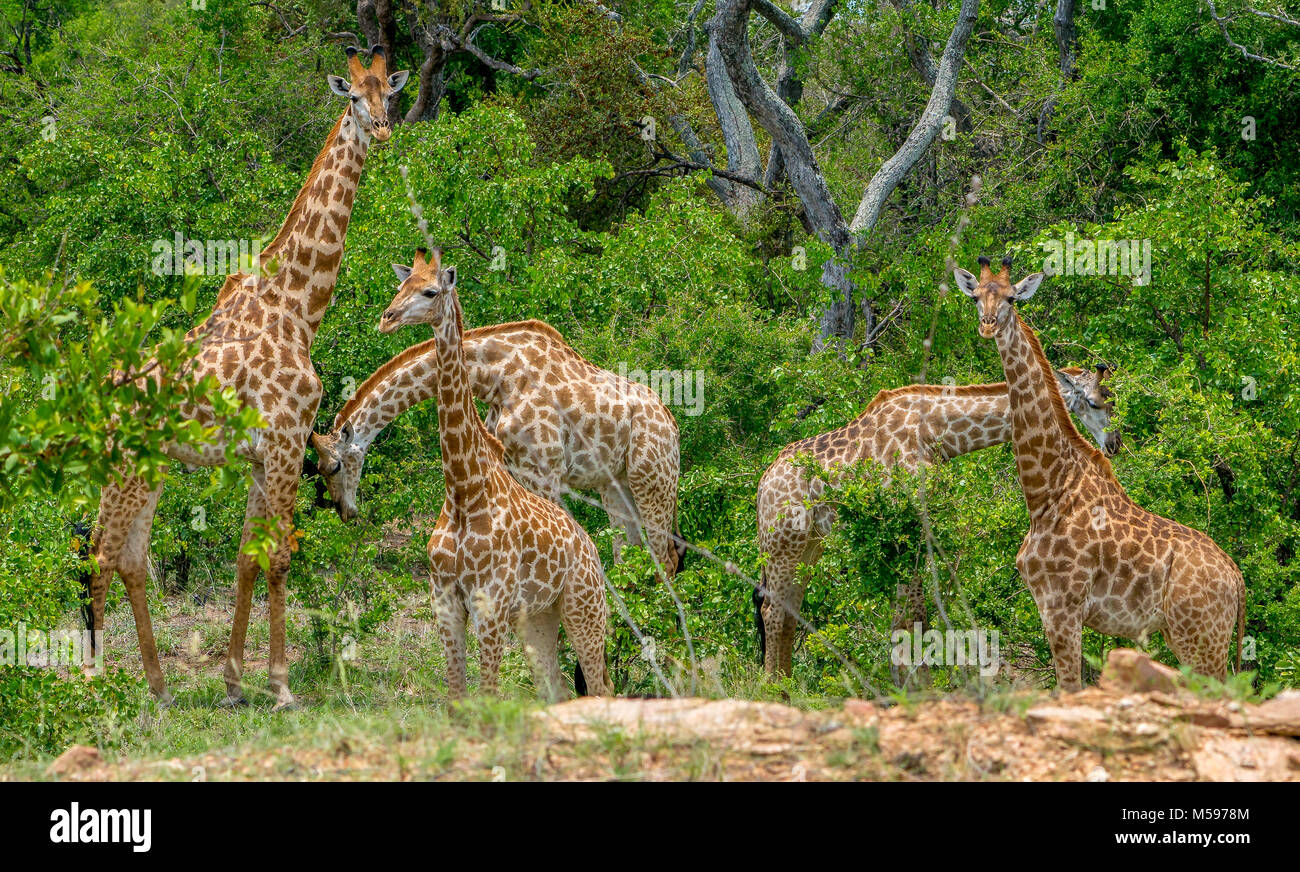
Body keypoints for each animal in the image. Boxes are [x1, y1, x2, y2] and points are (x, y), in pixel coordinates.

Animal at [82, 46, 409, 708]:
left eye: (389, 92)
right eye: (353, 99)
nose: (384, 129)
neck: (298, 308)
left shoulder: (264, 454)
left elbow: (246, 558)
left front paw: (235, 683)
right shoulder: (284, 442)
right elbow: (280, 558)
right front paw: (281, 687)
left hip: (150, 469)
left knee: (130, 558)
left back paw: (159, 689)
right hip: (123, 467)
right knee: (100, 555)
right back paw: (97, 684)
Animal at [310, 321, 684, 578]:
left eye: (334, 466)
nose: (345, 512)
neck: (495, 375)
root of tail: (672, 424)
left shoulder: (544, 471)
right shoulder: (512, 466)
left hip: (652, 478)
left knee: (666, 558)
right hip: (615, 483)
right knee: (631, 555)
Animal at [377, 249, 611, 700]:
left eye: (430, 291)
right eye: (400, 285)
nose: (388, 318)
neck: (464, 489)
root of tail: (591, 548)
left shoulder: (490, 604)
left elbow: (487, 695)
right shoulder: (445, 602)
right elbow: (456, 697)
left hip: (584, 608)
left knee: (600, 687)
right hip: (537, 619)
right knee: (555, 690)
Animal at [756, 368, 1121, 679]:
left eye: (1112, 398)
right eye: (1095, 401)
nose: (1114, 442)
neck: (937, 433)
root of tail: (762, 486)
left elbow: (906, 615)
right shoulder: (909, 522)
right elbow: (915, 614)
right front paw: (919, 685)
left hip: (810, 544)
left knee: (788, 612)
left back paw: (788, 686)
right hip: (783, 543)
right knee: (772, 612)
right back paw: (775, 690)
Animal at [954, 255, 1246, 691]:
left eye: (1011, 298)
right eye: (975, 296)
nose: (988, 325)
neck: (1046, 490)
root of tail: (1237, 579)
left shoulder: (1062, 606)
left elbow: (1069, 689)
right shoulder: (1051, 607)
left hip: (1200, 637)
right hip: (1191, 636)